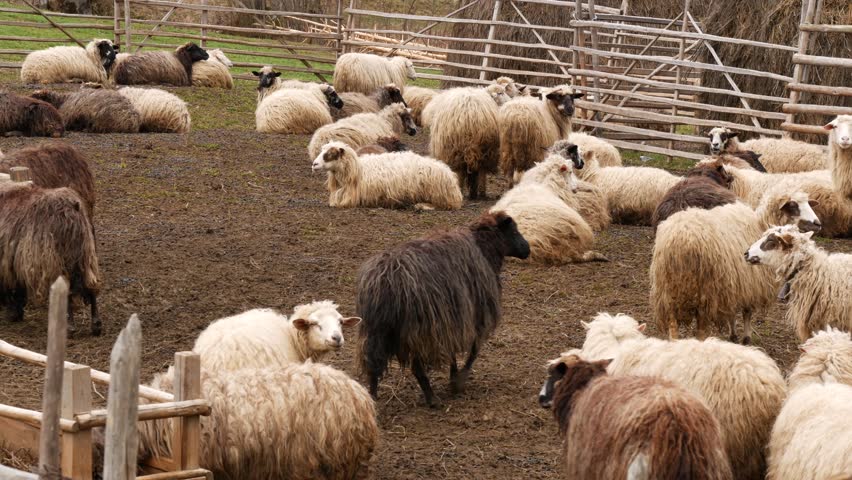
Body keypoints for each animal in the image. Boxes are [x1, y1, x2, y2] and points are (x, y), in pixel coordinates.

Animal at [0, 182, 100, 335]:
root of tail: (72, 207)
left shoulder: (7, 262)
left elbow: (11, 288)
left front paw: (13, 313)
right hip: (85, 255)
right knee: (91, 287)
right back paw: (96, 325)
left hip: (56, 260)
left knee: (67, 292)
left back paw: (69, 327)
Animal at [356, 211, 530, 407]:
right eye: (514, 231)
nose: (527, 249)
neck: (483, 247)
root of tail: (386, 279)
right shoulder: (472, 313)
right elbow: (474, 349)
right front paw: (458, 381)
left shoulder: (451, 317)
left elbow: (454, 351)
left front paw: (454, 377)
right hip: (416, 328)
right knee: (416, 366)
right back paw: (432, 399)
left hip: (377, 330)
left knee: (373, 363)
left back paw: (372, 399)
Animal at [651, 189, 820, 344]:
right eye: (793, 205)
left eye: (808, 203)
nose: (817, 224)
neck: (760, 224)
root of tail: (681, 239)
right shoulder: (749, 281)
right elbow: (746, 312)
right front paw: (745, 337)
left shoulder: (733, 283)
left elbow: (732, 311)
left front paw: (733, 335)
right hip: (706, 291)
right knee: (701, 329)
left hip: (668, 290)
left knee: (673, 325)